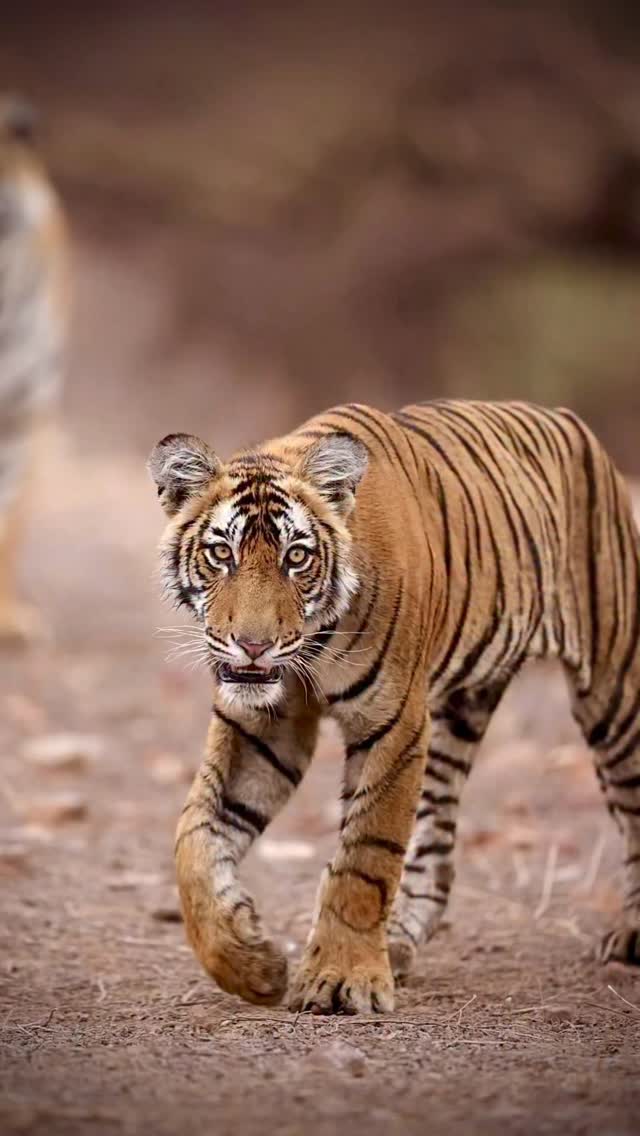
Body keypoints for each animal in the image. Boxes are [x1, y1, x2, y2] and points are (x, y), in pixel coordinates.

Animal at [148, 399, 640, 1015]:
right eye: (221, 553)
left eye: (296, 557)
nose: (254, 645)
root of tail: (567, 419)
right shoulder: (263, 723)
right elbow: (194, 836)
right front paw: (252, 964)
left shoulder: (392, 724)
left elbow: (366, 854)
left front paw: (342, 979)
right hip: (458, 713)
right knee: (437, 850)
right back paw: (399, 943)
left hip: (613, 692)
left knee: (631, 801)